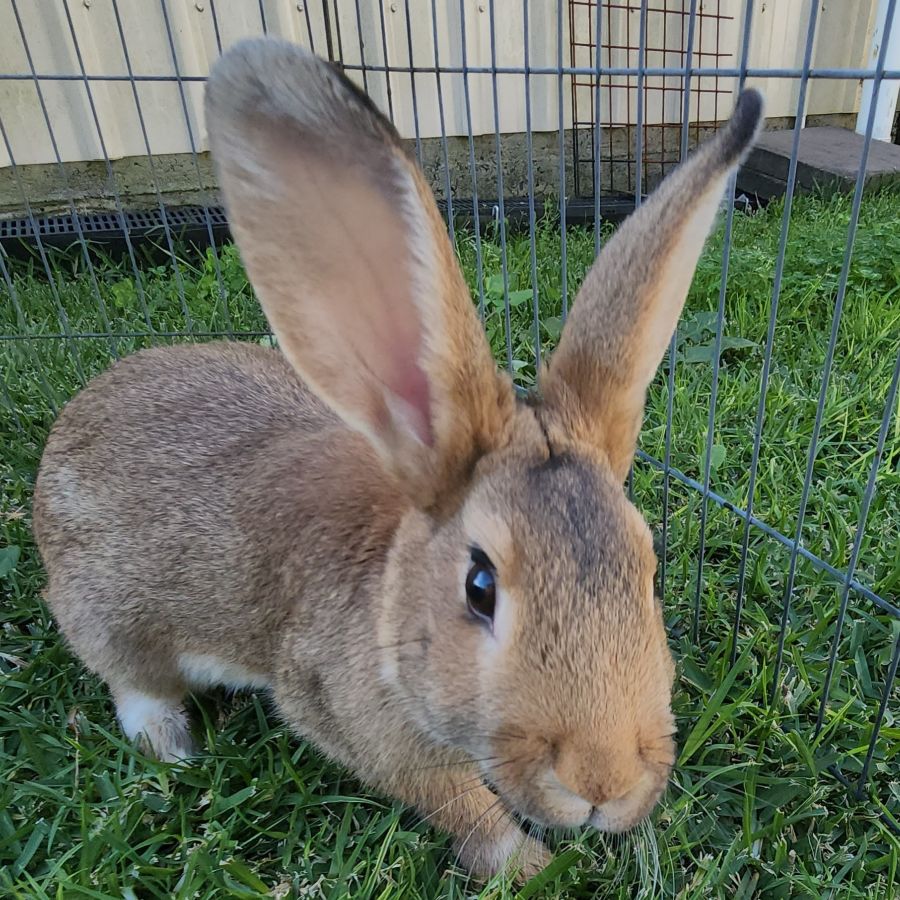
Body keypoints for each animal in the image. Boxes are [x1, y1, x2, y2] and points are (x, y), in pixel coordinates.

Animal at [32, 36, 763, 882]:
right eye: (480, 588)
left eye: (649, 568)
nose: (602, 782)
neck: (390, 602)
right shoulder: (360, 722)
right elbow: (459, 802)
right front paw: (527, 865)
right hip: (110, 612)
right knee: (129, 675)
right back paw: (170, 744)